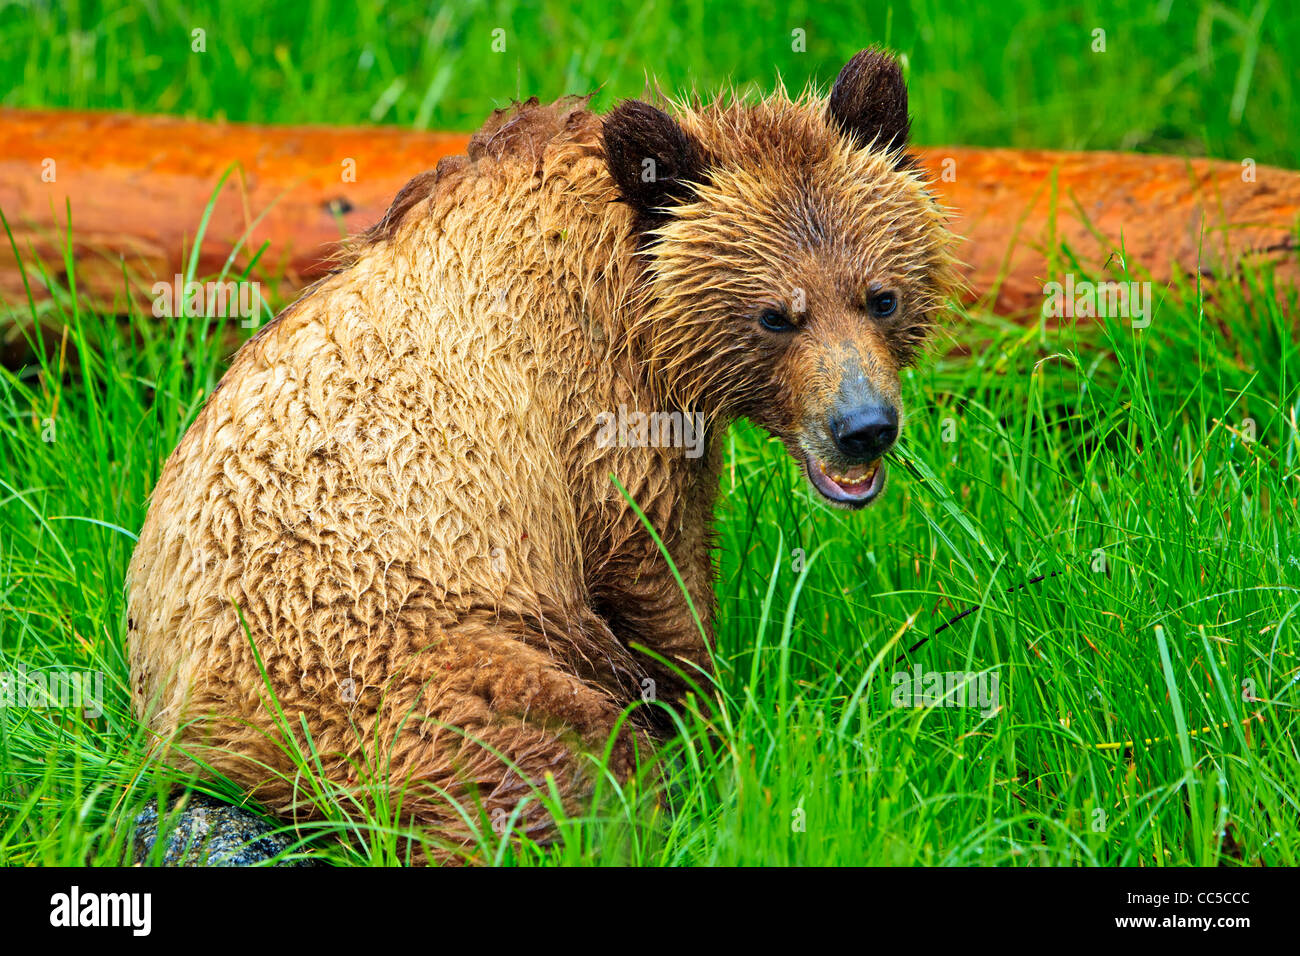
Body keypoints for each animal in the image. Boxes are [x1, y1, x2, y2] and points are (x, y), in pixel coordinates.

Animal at [126, 48, 959, 861]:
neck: (637, 306)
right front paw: (714, 729)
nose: (863, 425)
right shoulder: (595, 407)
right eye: (776, 317)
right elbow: (656, 567)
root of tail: (191, 737)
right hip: (396, 667)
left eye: (880, 295)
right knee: (559, 762)